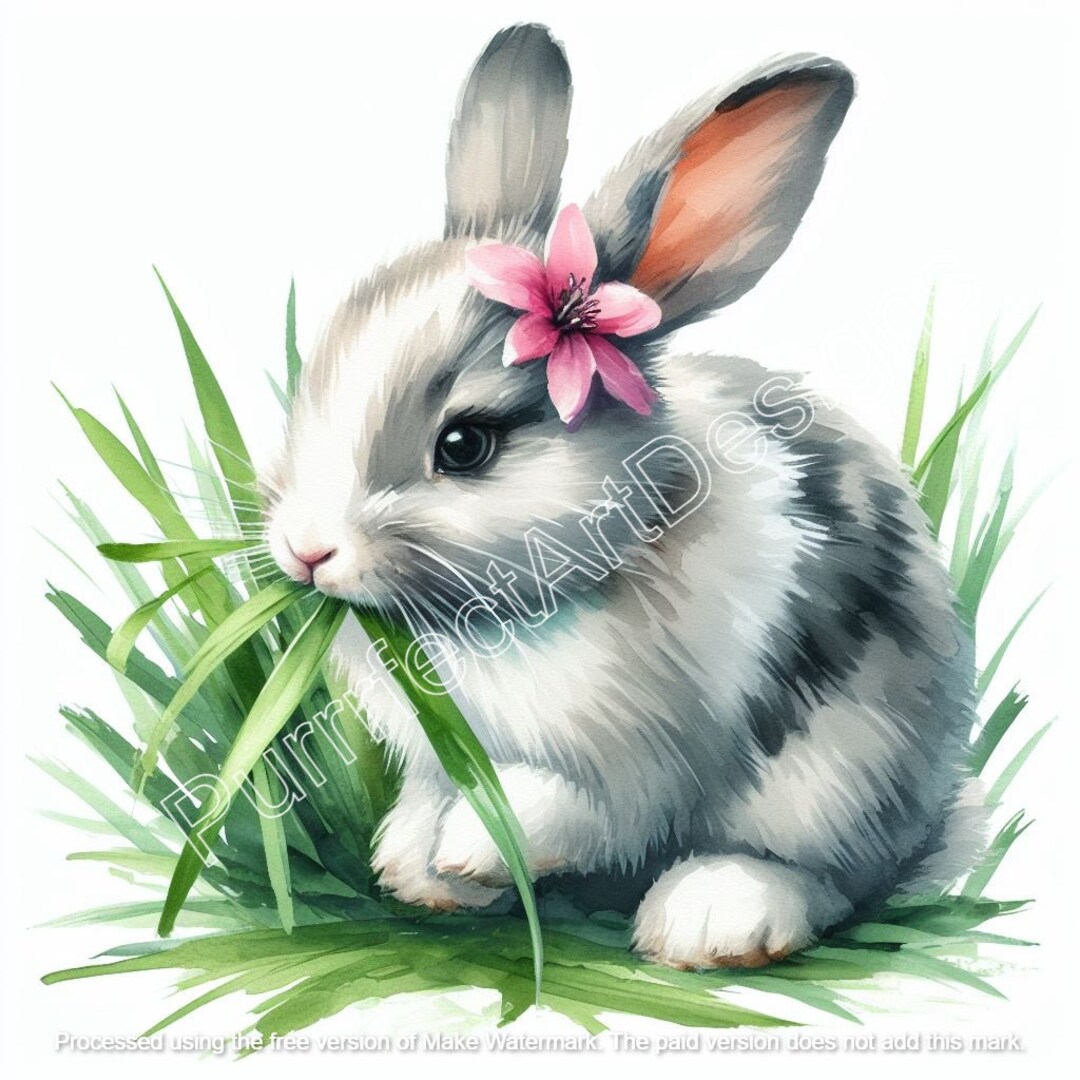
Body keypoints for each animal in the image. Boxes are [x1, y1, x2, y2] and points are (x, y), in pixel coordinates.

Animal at [262, 24, 980, 970]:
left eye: (465, 445)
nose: (306, 549)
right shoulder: (435, 758)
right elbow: (430, 797)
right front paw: (418, 865)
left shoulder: (639, 764)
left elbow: (568, 807)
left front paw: (471, 847)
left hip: (844, 773)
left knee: (831, 875)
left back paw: (713, 920)